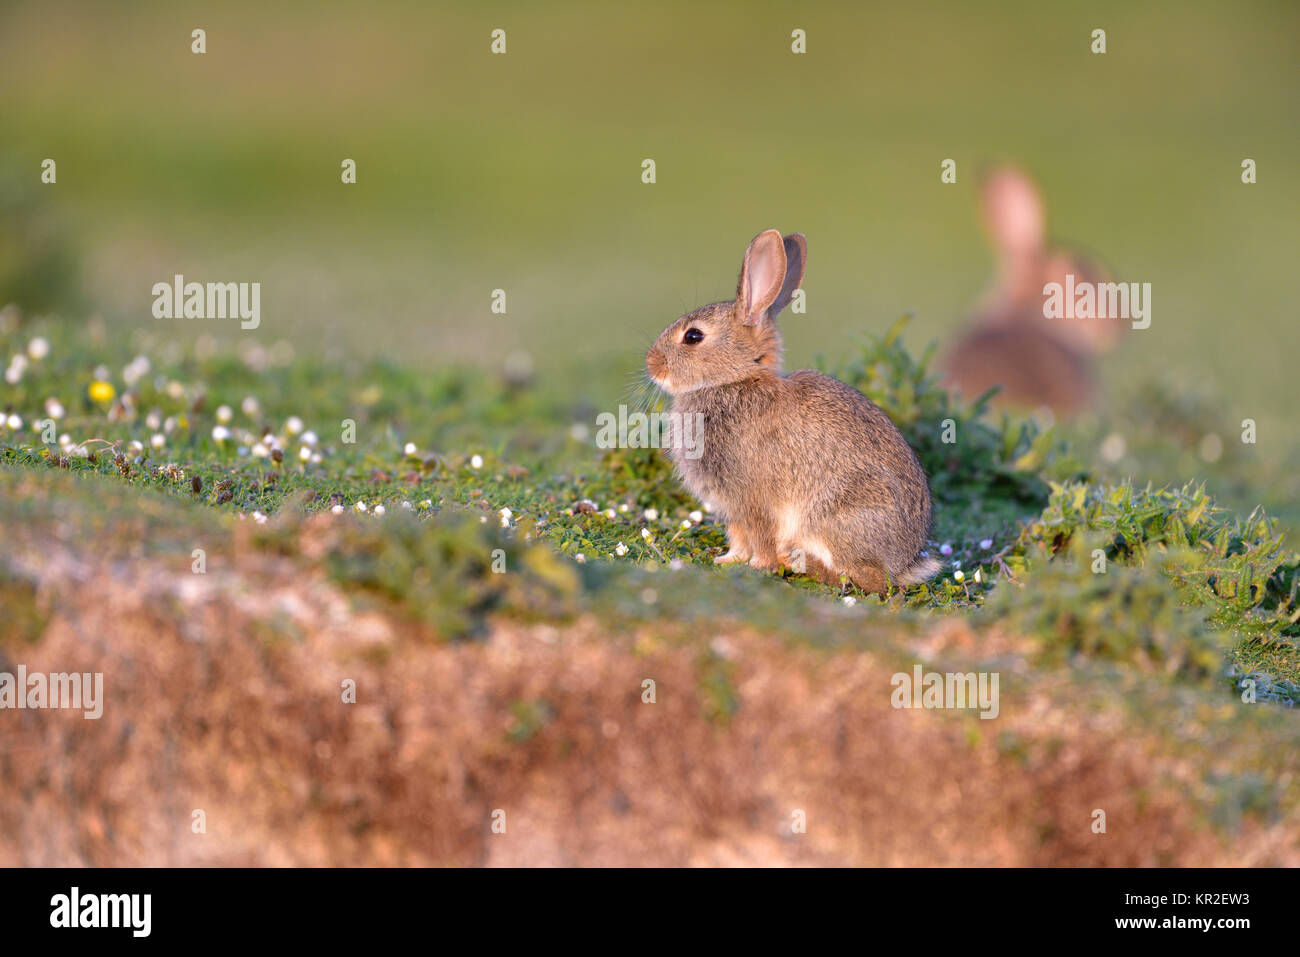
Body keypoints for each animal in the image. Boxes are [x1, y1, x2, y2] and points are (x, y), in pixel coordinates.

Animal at [645, 229, 939, 595]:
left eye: (693, 336)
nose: (651, 364)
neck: (734, 380)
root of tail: (905, 563)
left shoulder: (754, 501)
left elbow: (761, 537)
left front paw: (759, 567)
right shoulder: (734, 510)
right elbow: (738, 538)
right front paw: (727, 561)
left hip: (832, 518)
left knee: (867, 579)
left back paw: (799, 563)